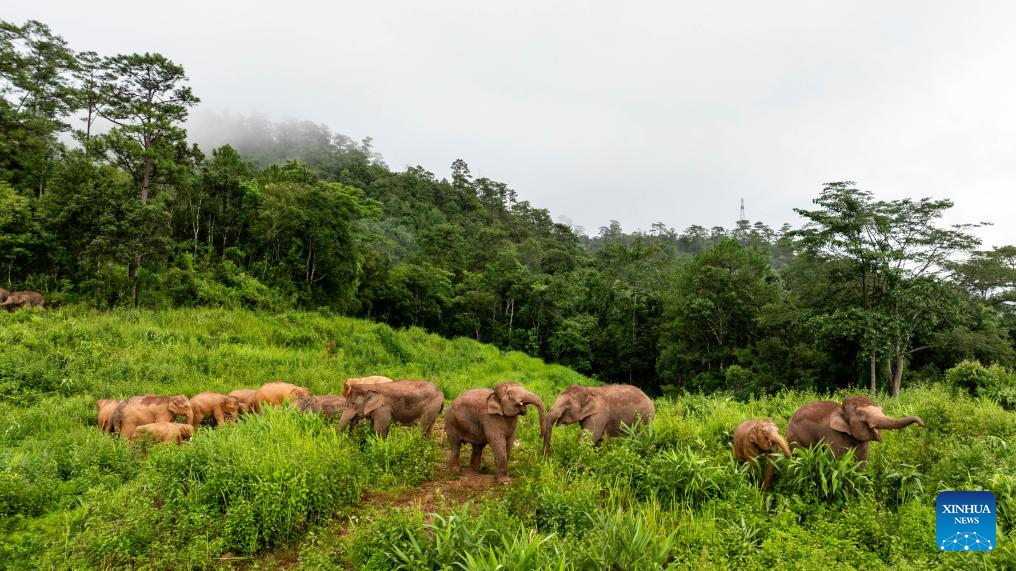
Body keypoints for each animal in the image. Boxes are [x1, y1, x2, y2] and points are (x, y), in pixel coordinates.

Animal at [786, 395, 925, 465]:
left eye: (880, 409)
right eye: (862, 415)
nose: (921, 425)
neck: (840, 409)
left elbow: (861, 464)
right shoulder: (833, 436)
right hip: (795, 439)